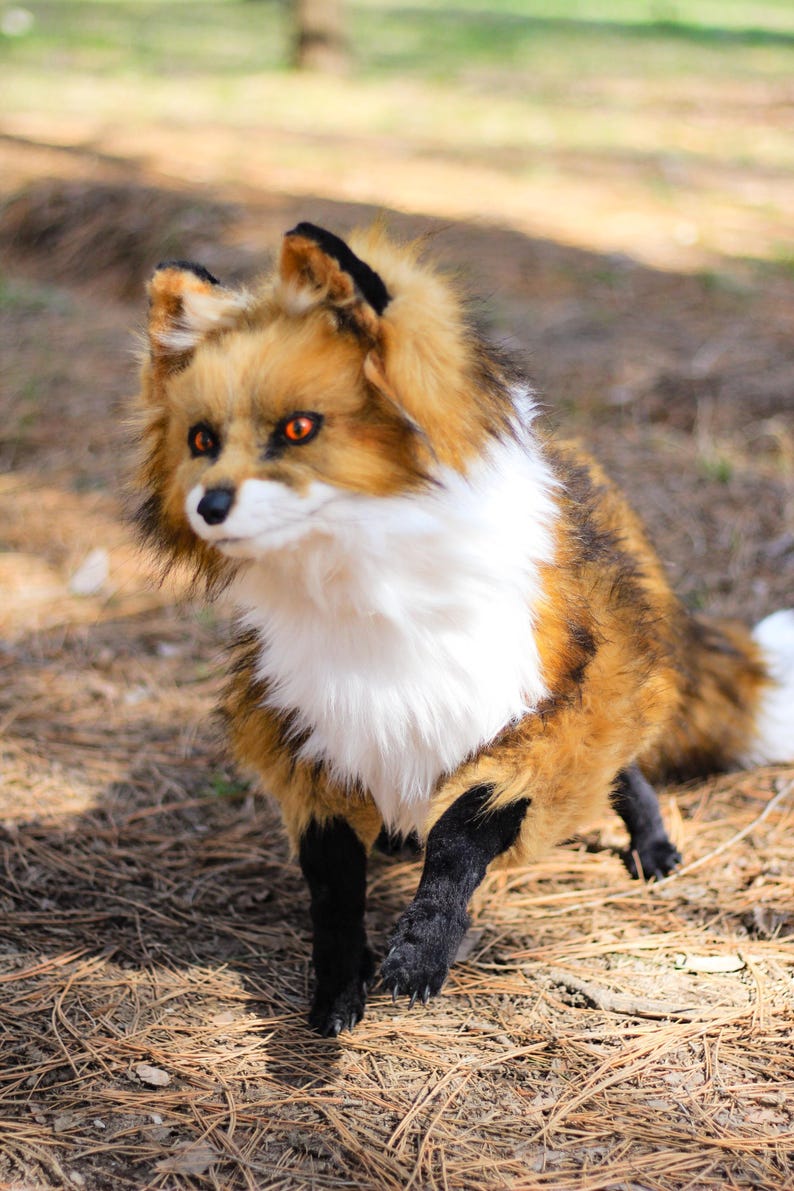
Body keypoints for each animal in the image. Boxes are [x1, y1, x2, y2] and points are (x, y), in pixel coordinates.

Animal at [134, 222, 794, 1036]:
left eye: (298, 428)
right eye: (202, 440)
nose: (210, 506)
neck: (370, 615)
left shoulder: (531, 723)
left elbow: (457, 842)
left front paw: (421, 953)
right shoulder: (310, 738)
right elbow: (334, 891)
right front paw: (339, 986)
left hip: (601, 687)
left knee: (627, 766)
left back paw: (653, 847)